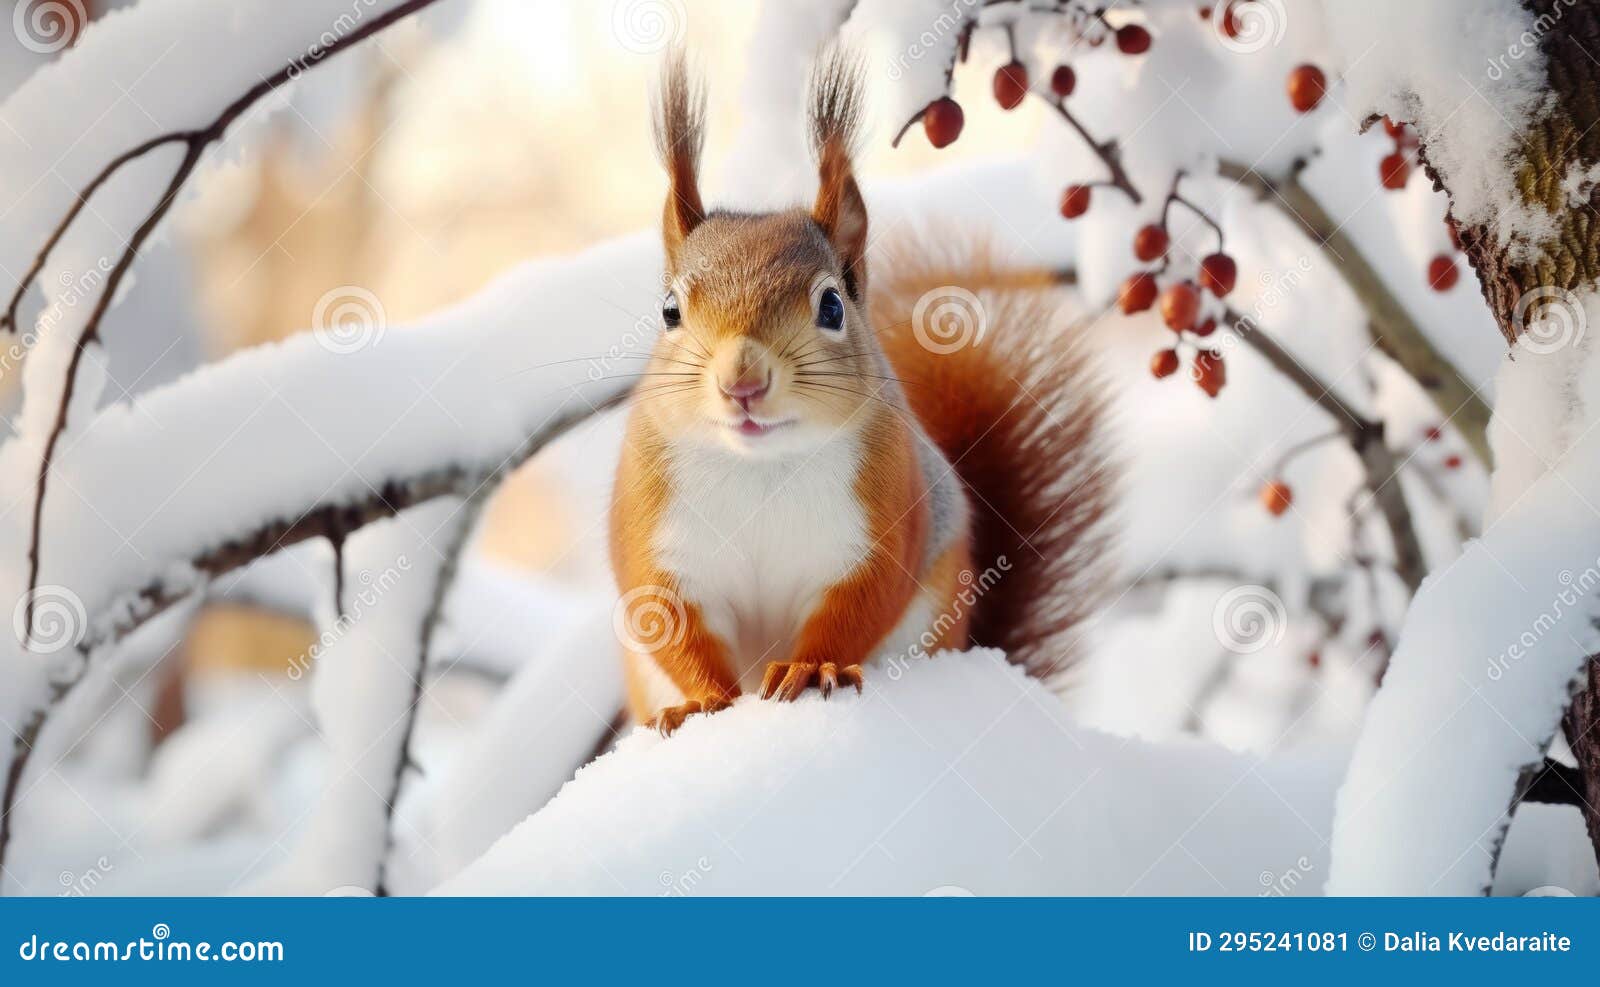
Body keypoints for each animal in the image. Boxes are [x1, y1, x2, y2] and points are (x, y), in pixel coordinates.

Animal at [610, 50, 1114, 735]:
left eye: (831, 305)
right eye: (668, 311)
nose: (742, 382)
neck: (761, 469)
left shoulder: (881, 520)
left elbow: (858, 605)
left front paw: (808, 669)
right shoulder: (660, 540)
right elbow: (672, 622)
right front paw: (703, 702)